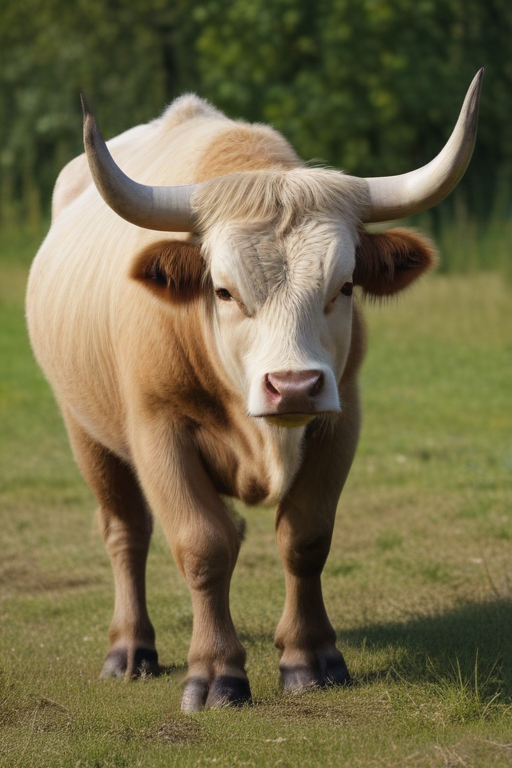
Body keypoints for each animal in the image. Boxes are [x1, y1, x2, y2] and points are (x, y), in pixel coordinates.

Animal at [26, 70, 482, 712]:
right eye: (222, 290)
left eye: (345, 286)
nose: (293, 386)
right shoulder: (158, 430)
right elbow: (202, 545)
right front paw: (216, 672)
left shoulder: (341, 419)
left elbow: (305, 537)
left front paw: (310, 658)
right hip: (84, 429)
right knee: (126, 531)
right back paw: (130, 649)